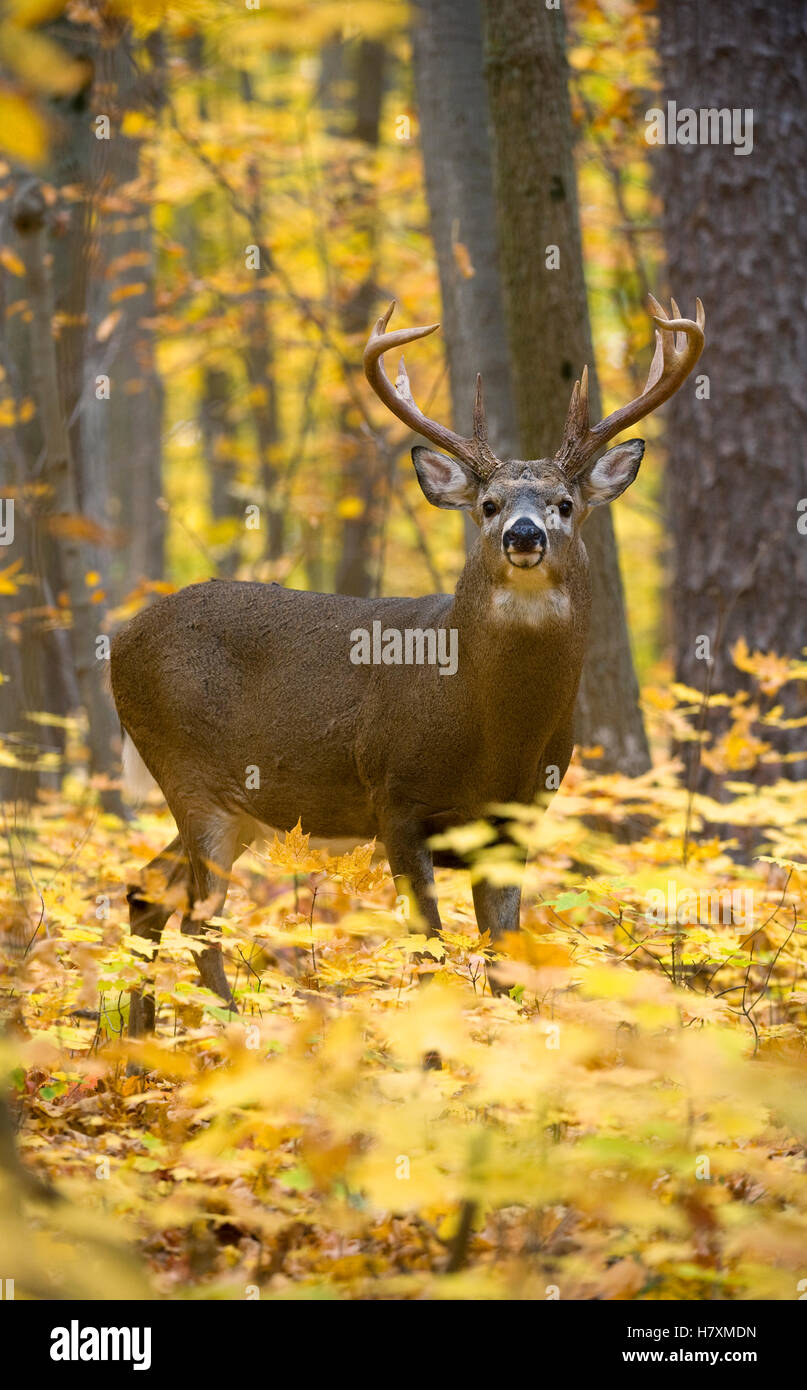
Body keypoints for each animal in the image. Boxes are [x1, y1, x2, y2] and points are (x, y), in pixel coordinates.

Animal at [111, 294, 704, 1035]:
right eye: (487, 504)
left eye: (565, 504)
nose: (524, 535)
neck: (489, 733)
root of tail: (118, 641)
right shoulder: (393, 798)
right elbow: (428, 952)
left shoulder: (514, 822)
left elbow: (504, 956)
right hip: (191, 776)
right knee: (197, 920)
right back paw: (231, 1033)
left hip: (237, 806)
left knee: (145, 895)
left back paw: (137, 1041)